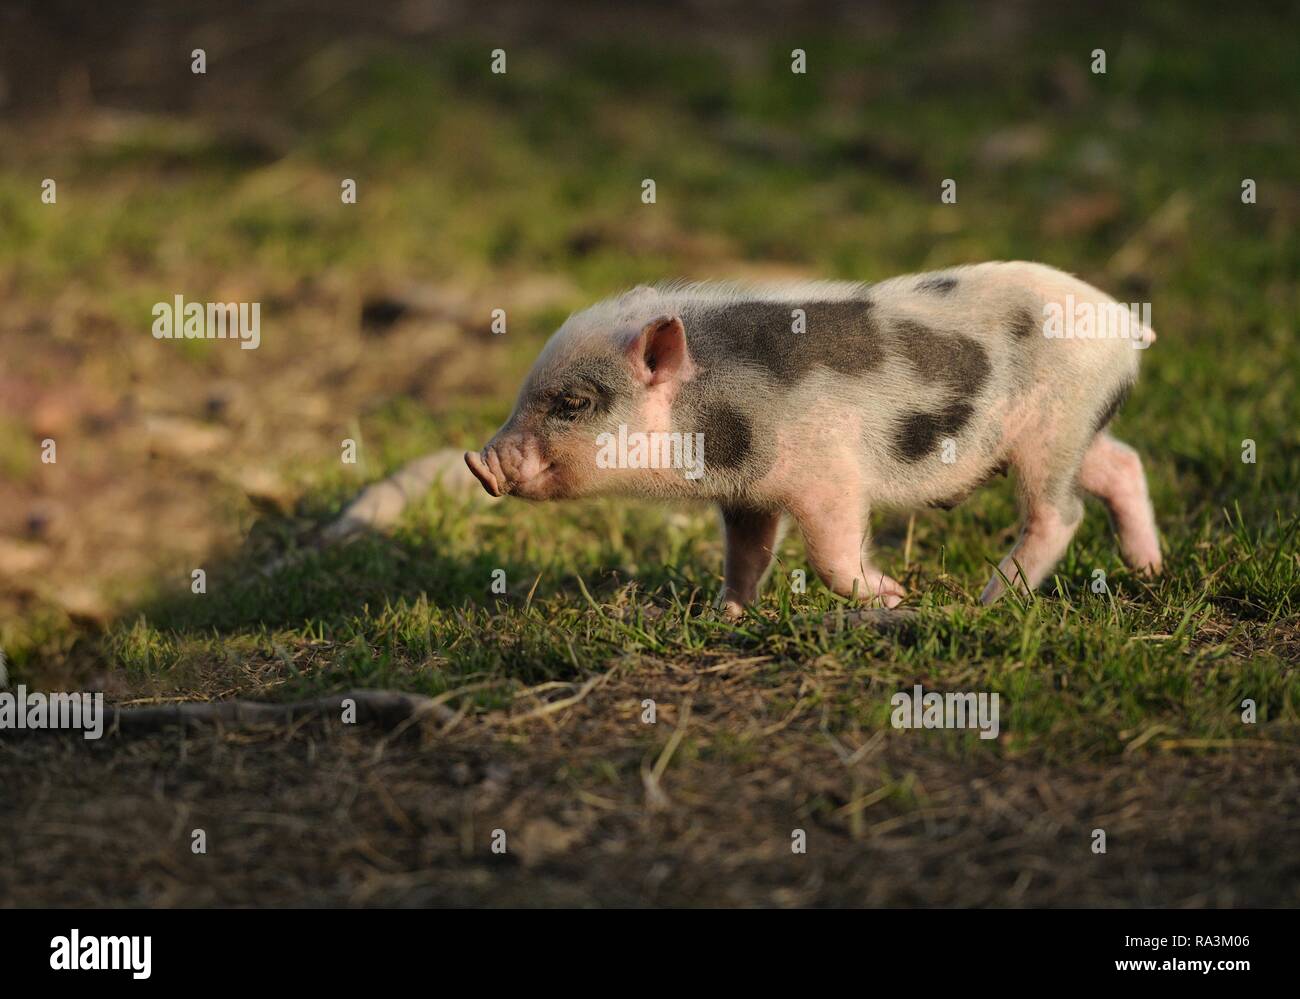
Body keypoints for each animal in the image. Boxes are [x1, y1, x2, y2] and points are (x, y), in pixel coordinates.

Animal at [465, 262, 1161, 614]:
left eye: (573, 403)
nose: (480, 463)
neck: (711, 417)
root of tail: (1125, 323)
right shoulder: (747, 494)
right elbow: (746, 556)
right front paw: (726, 615)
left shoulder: (829, 477)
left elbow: (831, 552)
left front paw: (895, 597)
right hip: (1077, 429)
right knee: (1122, 464)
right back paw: (1150, 569)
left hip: (1054, 427)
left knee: (1060, 513)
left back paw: (988, 603)